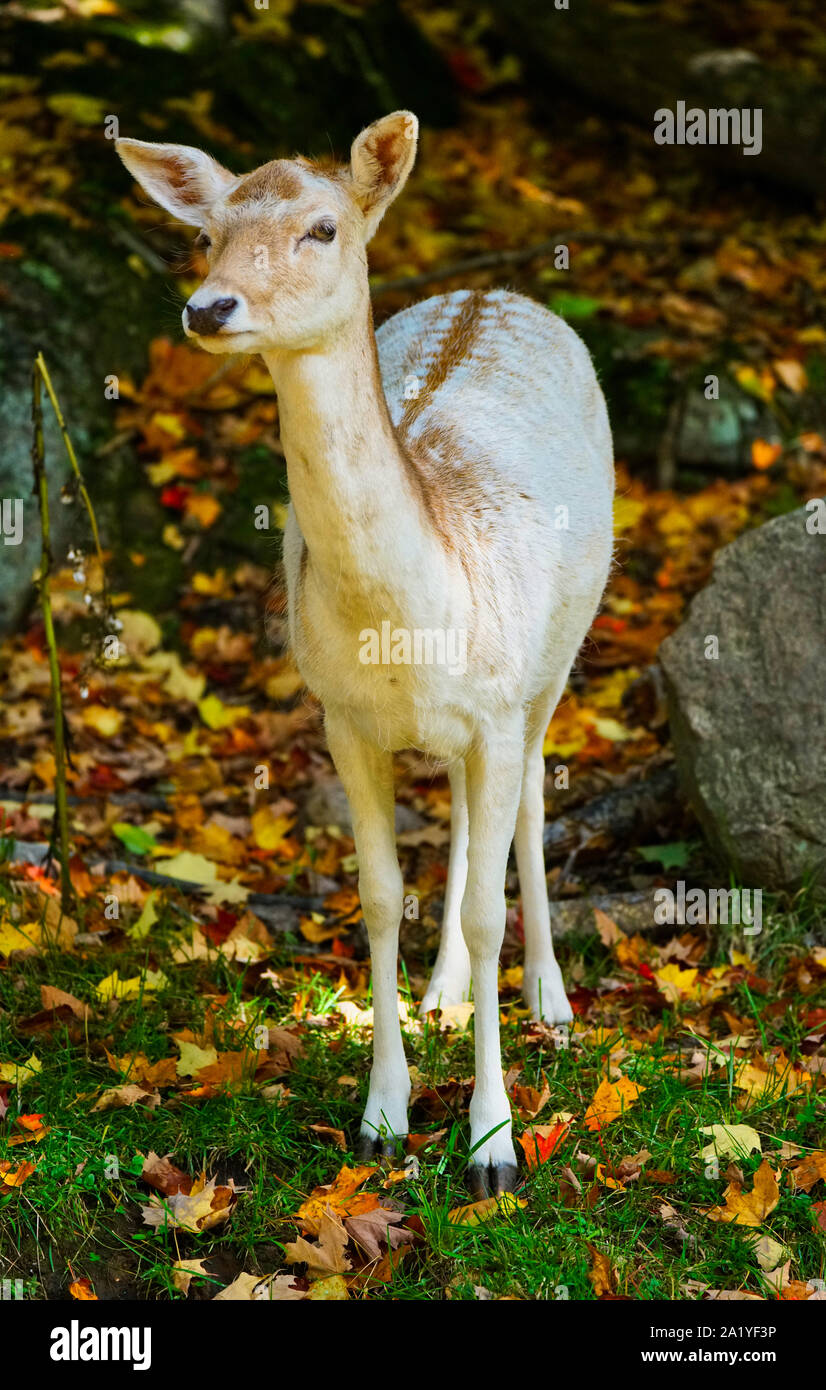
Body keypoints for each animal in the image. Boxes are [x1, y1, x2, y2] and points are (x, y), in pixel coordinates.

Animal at [116, 112, 614, 1196]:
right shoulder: (341, 715)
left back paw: (549, 999)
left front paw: (491, 1144)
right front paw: (383, 1117)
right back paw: (444, 992)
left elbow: (488, 904)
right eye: (206, 233)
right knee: (467, 815)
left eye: (323, 228)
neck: (408, 622)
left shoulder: (499, 703)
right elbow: (381, 897)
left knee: (530, 801)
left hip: (559, 653)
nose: (209, 306)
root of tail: (495, 289)